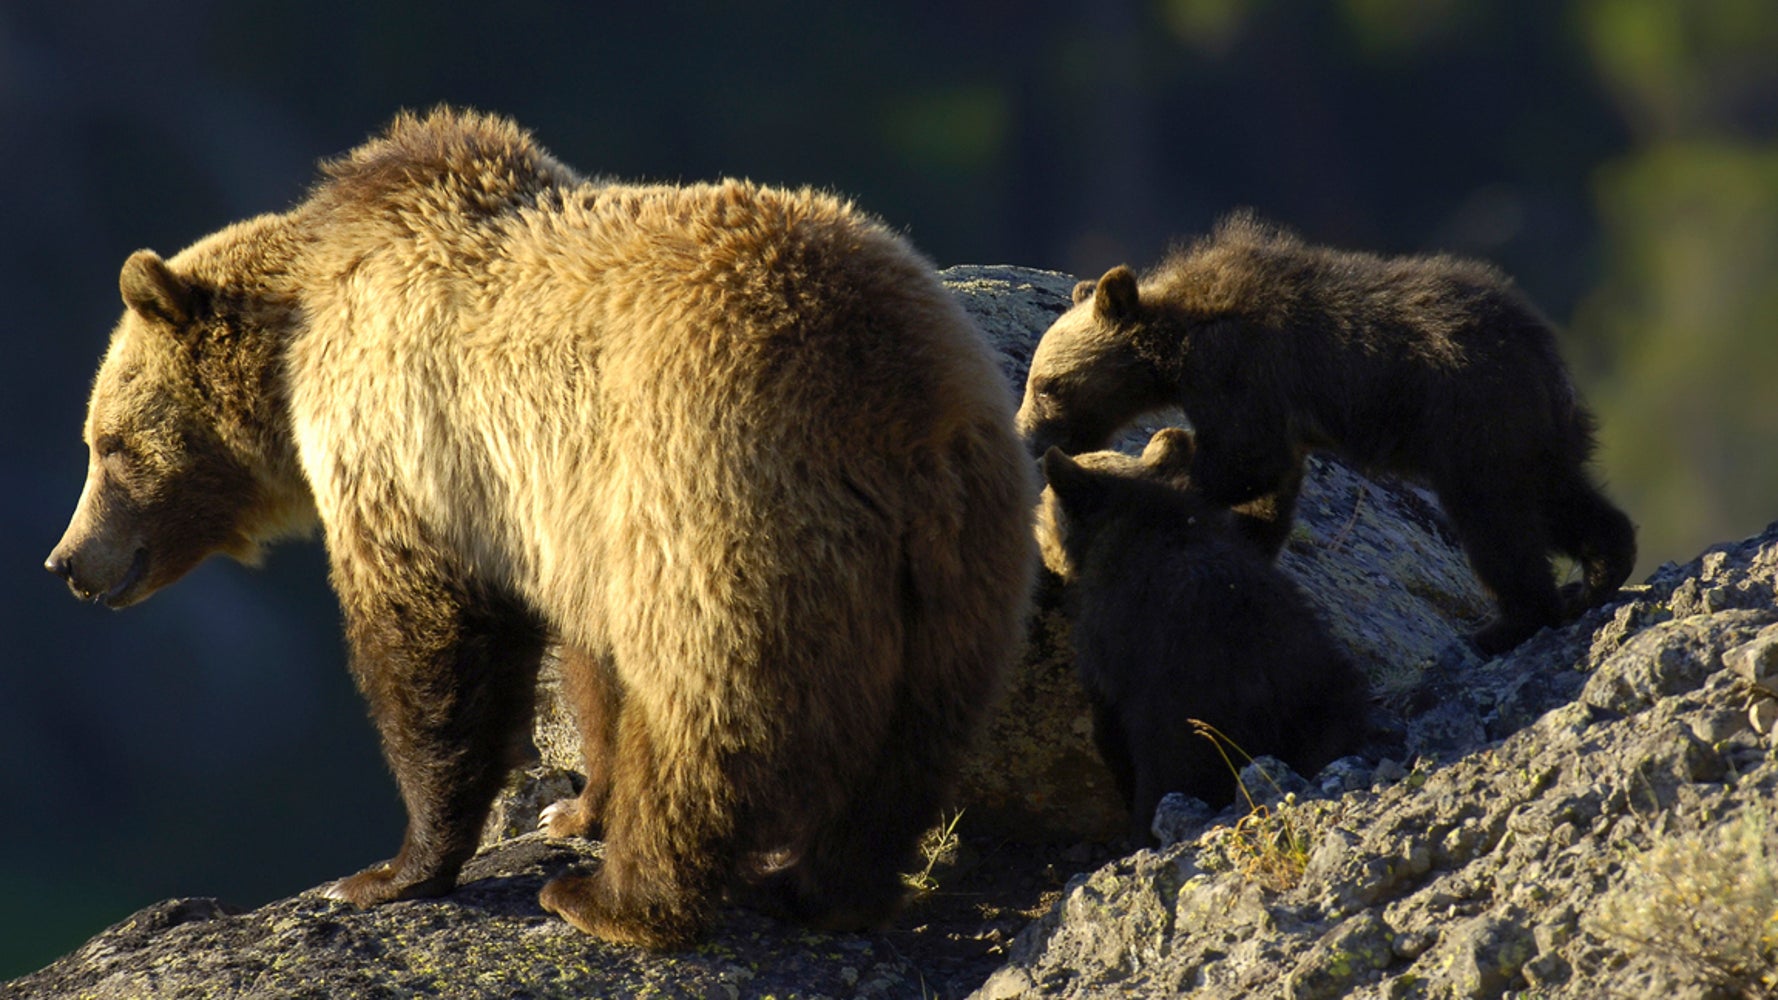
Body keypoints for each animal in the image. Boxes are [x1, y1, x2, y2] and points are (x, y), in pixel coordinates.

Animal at [44, 107, 1037, 949]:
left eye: (107, 444)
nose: (67, 561)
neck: (302, 336)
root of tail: (900, 418)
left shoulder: (419, 444)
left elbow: (432, 650)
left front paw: (391, 871)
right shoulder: (568, 514)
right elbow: (591, 662)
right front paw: (575, 806)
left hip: (722, 502)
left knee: (709, 713)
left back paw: (617, 900)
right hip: (964, 562)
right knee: (915, 740)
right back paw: (826, 889)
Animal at [1017, 211, 1637, 655]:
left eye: (1046, 384)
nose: (1028, 437)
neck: (1178, 341)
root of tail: (1547, 356)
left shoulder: (1242, 372)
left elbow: (1246, 461)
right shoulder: (1270, 409)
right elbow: (1271, 484)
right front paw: (1252, 539)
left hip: (1472, 422)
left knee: (1498, 524)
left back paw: (1507, 624)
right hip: (1532, 434)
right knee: (1561, 500)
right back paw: (1598, 575)